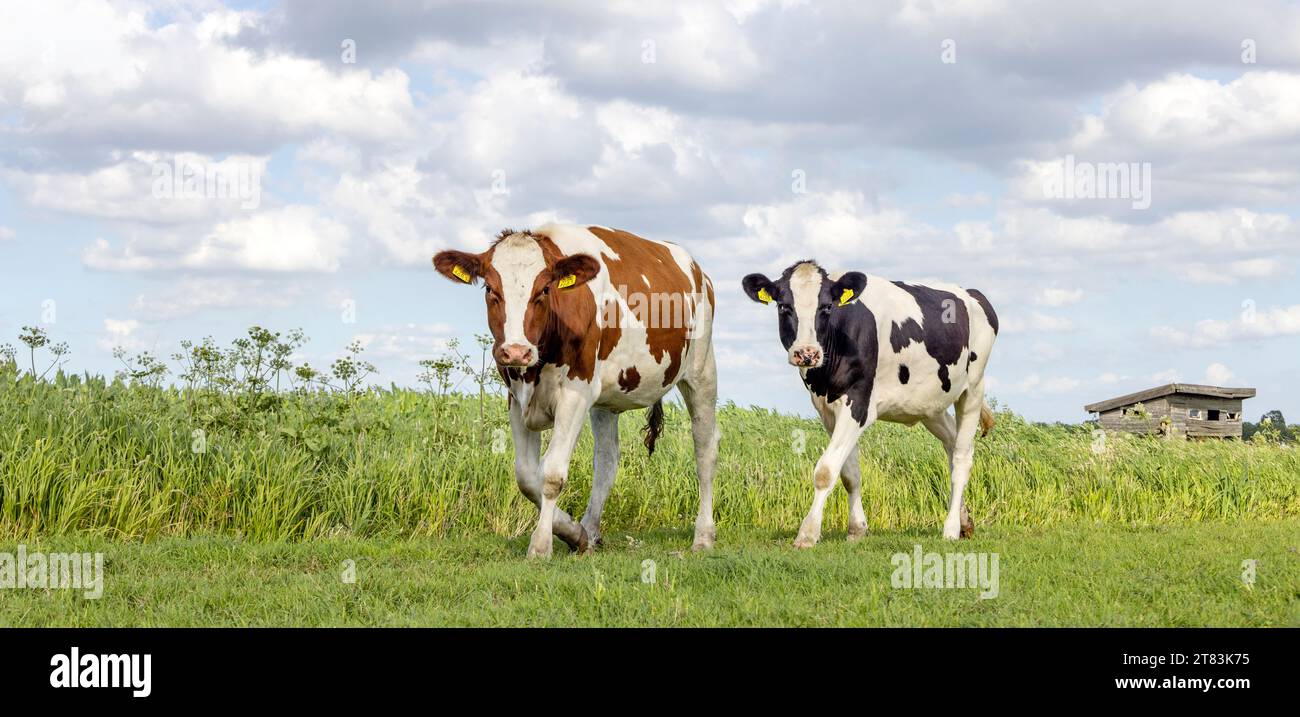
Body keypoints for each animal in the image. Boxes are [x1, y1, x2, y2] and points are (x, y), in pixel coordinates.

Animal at [434, 224, 719, 559]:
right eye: (490, 290)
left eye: (544, 290)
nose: (516, 351)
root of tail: (696, 268)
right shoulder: (516, 399)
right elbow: (527, 476)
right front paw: (574, 533)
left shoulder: (576, 393)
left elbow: (551, 473)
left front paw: (541, 546)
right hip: (607, 400)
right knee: (607, 461)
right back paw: (591, 531)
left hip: (702, 370)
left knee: (705, 450)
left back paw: (703, 536)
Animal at [742, 260, 998, 547]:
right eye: (784, 306)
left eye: (826, 307)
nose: (807, 353)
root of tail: (972, 294)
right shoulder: (826, 409)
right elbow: (849, 473)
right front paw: (857, 529)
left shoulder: (859, 403)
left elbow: (825, 470)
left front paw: (807, 533)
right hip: (931, 405)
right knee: (953, 446)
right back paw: (964, 522)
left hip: (973, 389)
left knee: (962, 458)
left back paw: (951, 528)